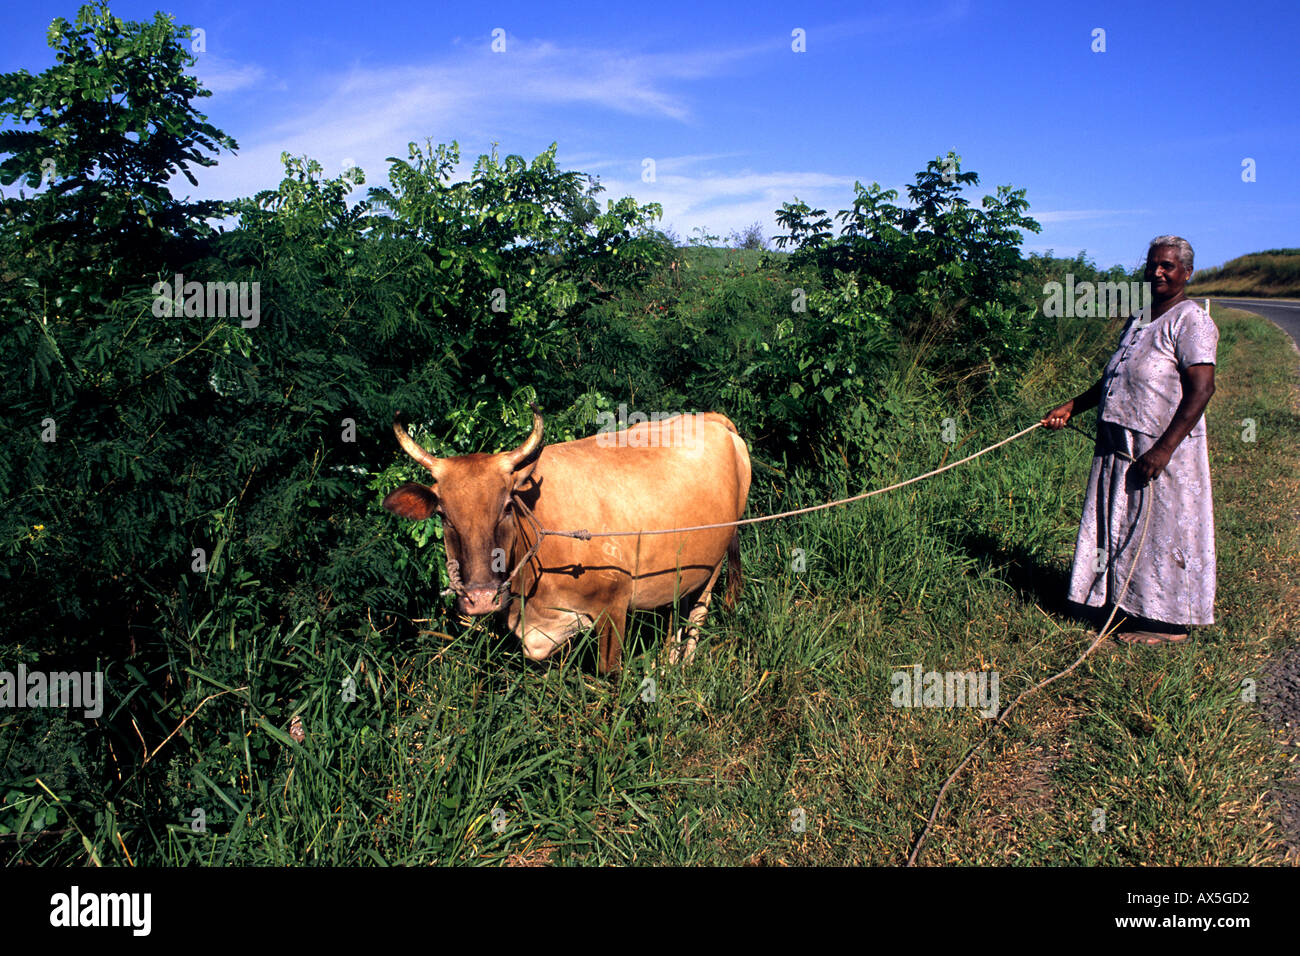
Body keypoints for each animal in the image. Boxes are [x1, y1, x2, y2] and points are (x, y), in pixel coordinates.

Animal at [382, 407, 751, 674]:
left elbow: (607, 673)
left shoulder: (613, 606)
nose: (482, 599)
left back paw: (682, 665)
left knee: (697, 612)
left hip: (715, 562)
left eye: (506, 505)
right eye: (443, 514)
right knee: (678, 607)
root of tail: (712, 419)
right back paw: (668, 662)